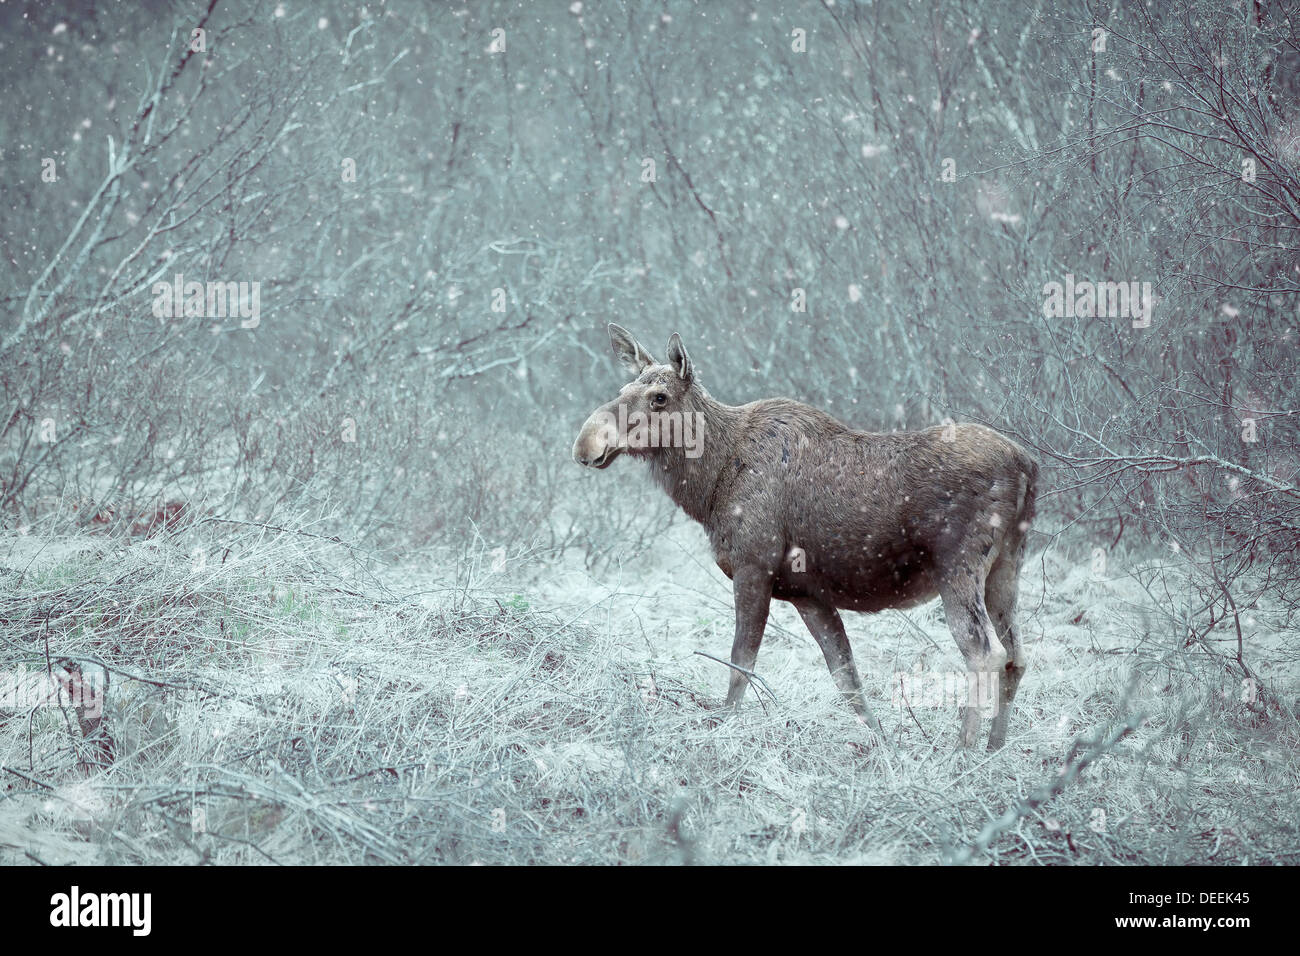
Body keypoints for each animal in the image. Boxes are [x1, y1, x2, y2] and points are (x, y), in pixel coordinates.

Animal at [573, 325, 1039, 749]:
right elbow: (846, 677)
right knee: (1017, 654)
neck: (708, 486)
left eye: (659, 398)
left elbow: (741, 662)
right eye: (623, 387)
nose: (586, 442)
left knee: (984, 653)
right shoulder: (807, 594)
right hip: (1006, 565)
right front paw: (883, 745)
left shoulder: (753, 567)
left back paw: (962, 753)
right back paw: (995, 749)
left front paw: (722, 729)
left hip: (958, 565)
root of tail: (1027, 466)